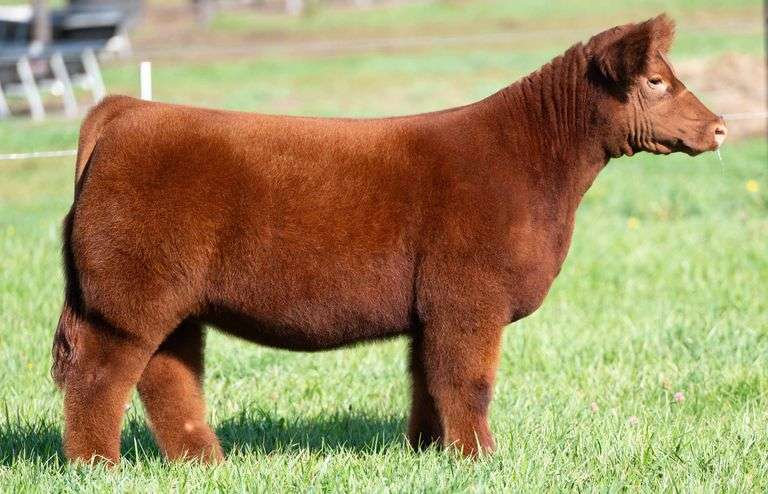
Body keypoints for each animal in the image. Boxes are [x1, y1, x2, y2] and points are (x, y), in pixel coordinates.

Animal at [51, 14, 726, 464]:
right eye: (657, 82)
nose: (719, 126)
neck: (534, 164)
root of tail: (125, 110)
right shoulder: (468, 300)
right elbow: (467, 382)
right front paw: (481, 459)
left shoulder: (434, 311)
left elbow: (428, 381)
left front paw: (432, 454)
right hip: (129, 297)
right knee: (100, 375)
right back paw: (99, 466)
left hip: (170, 303)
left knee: (168, 374)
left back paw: (204, 462)